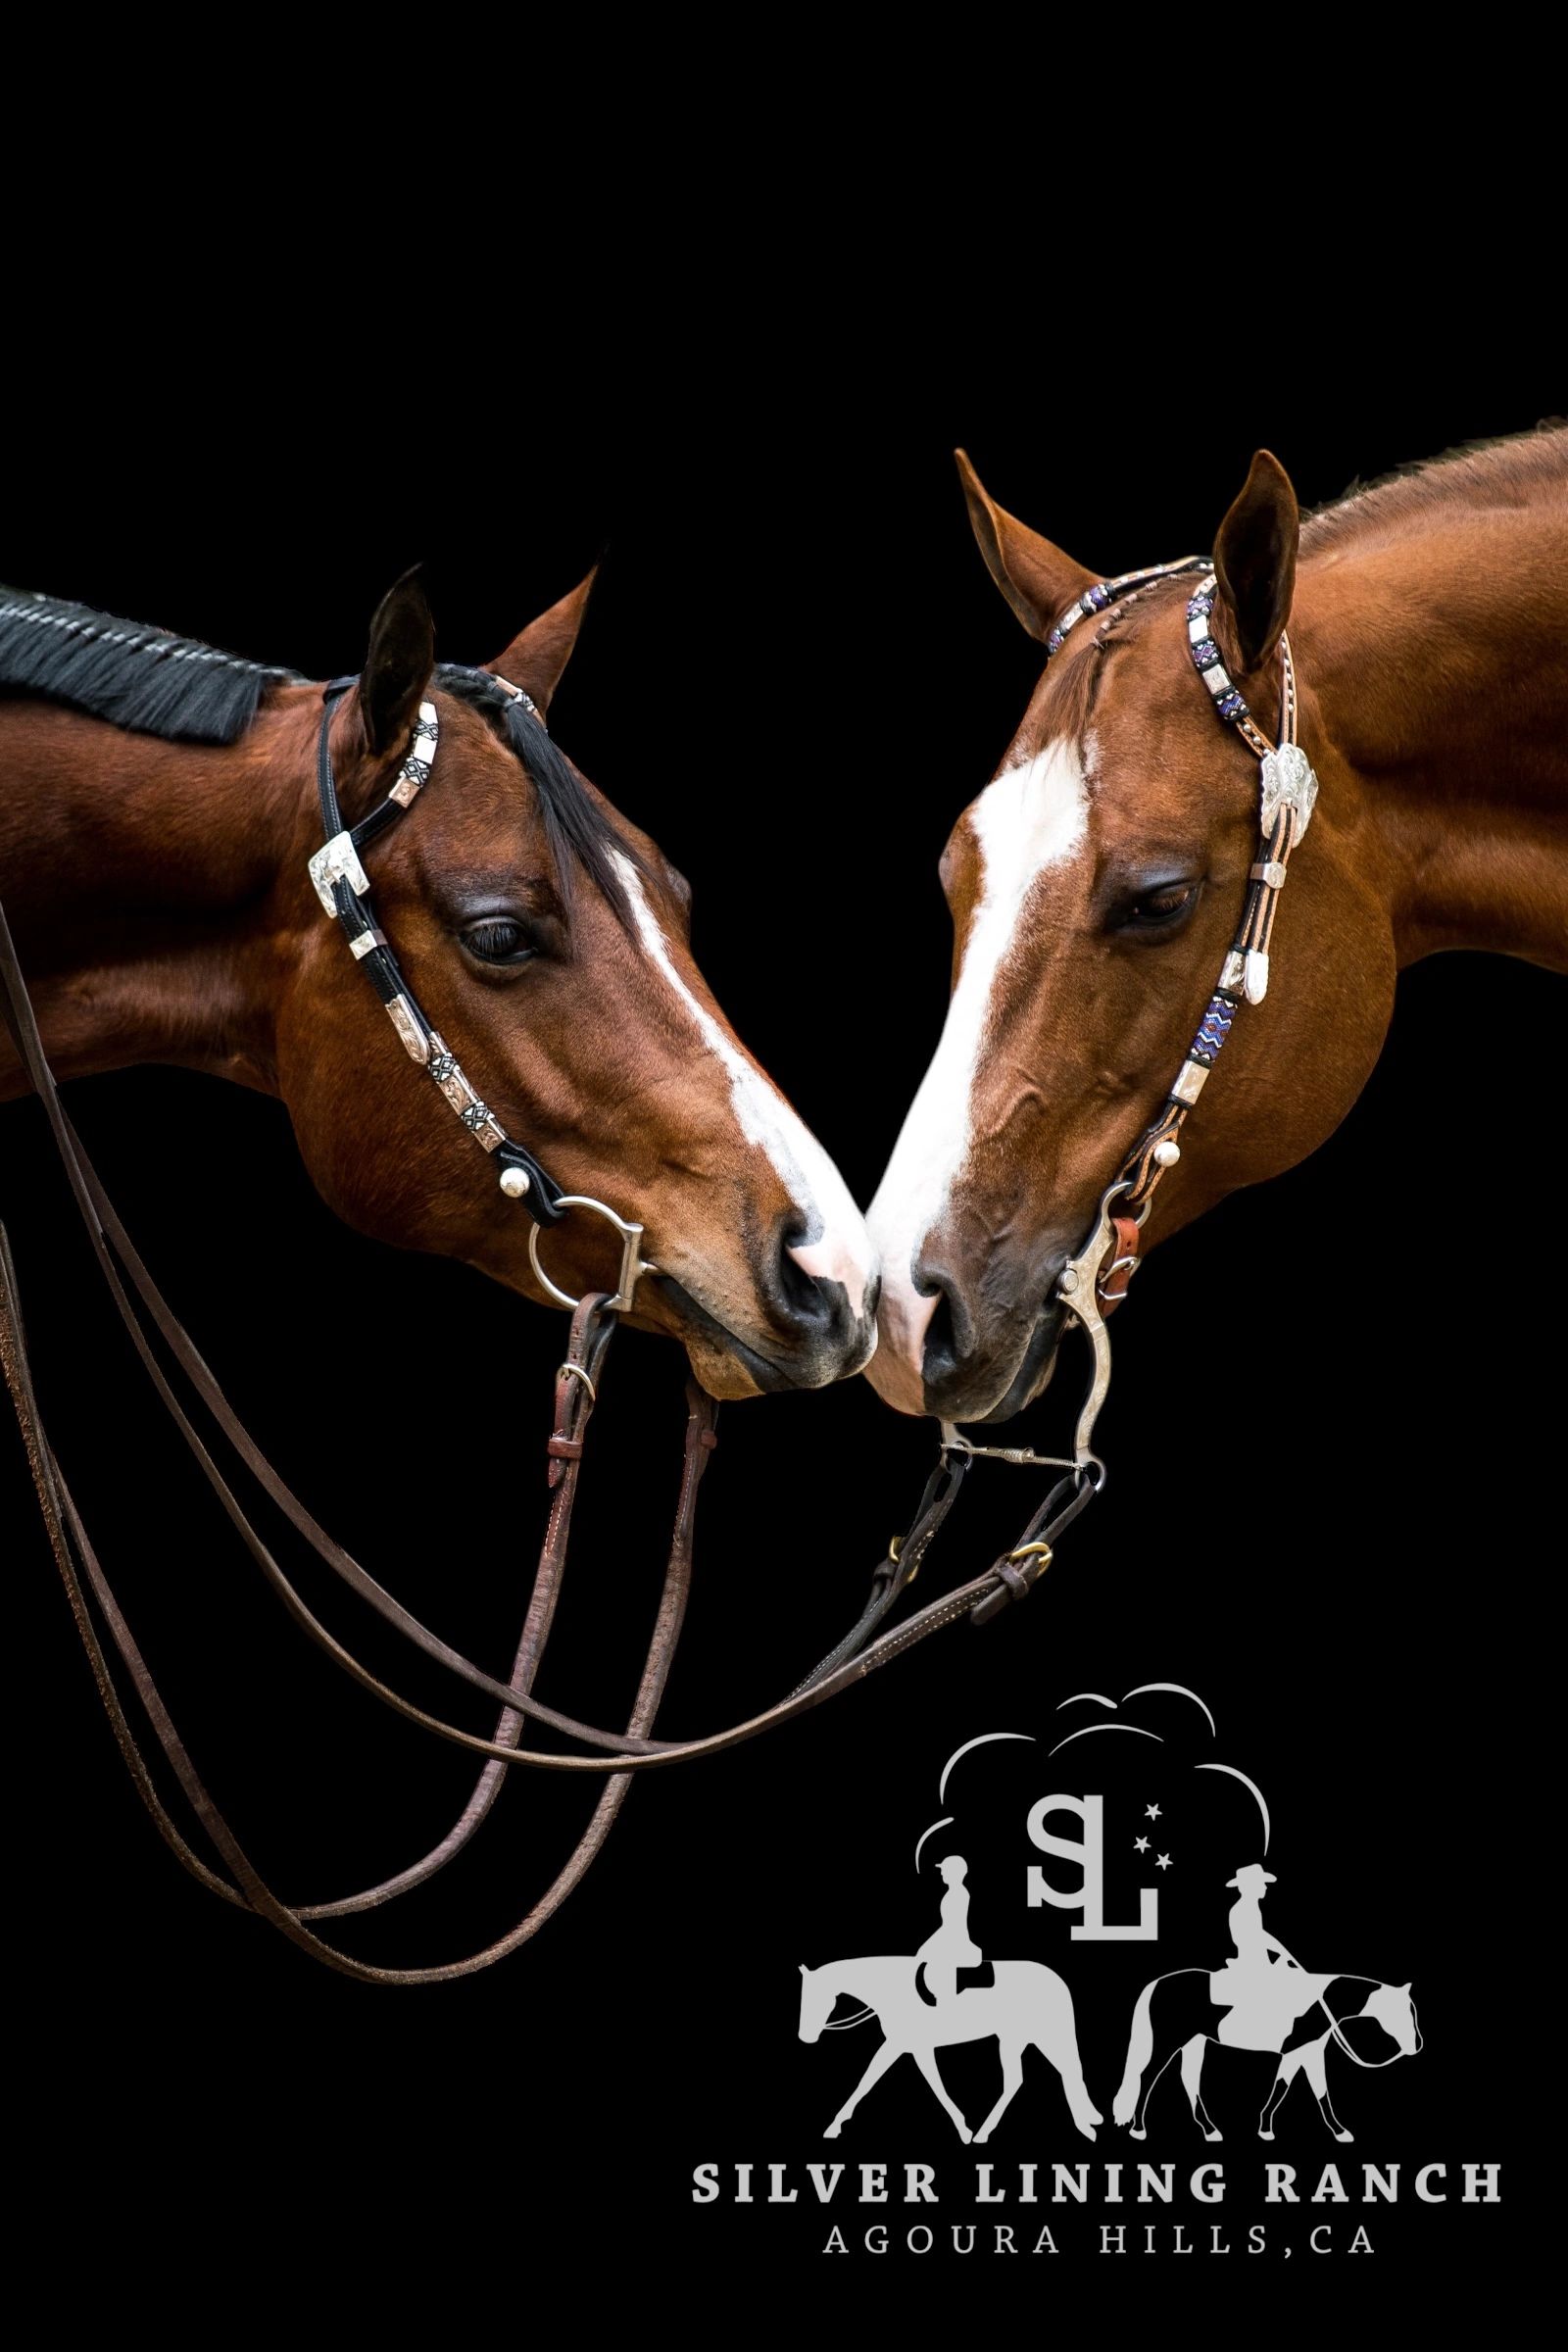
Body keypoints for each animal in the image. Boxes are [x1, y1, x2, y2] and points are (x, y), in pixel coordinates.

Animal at [798, 1955, 1101, 2145]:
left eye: (814, 1999)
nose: (805, 2037)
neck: (894, 1990)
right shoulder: (904, 2046)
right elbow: (869, 2081)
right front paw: (834, 2126)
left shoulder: (911, 2046)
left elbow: (933, 2086)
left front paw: (964, 2131)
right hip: (1027, 2039)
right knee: (1059, 2073)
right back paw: (1087, 2121)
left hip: (1030, 2038)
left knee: (1040, 2076)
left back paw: (983, 2133)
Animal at [1113, 1967, 1422, 2146]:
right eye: (1402, 2012)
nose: (1417, 2045)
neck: (1319, 2003)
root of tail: (1158, 1983)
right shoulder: (1299, 2051)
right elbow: (1293, 2088)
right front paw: (1268, 2129)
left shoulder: (1307, 2052)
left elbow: (1307, 2089)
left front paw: (1336, 2131)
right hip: (1168, 2042)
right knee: (1148, 2077)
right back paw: (1139, 2128)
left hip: (1194, 2042)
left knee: (1188, 2079)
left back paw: (1210, 2130)